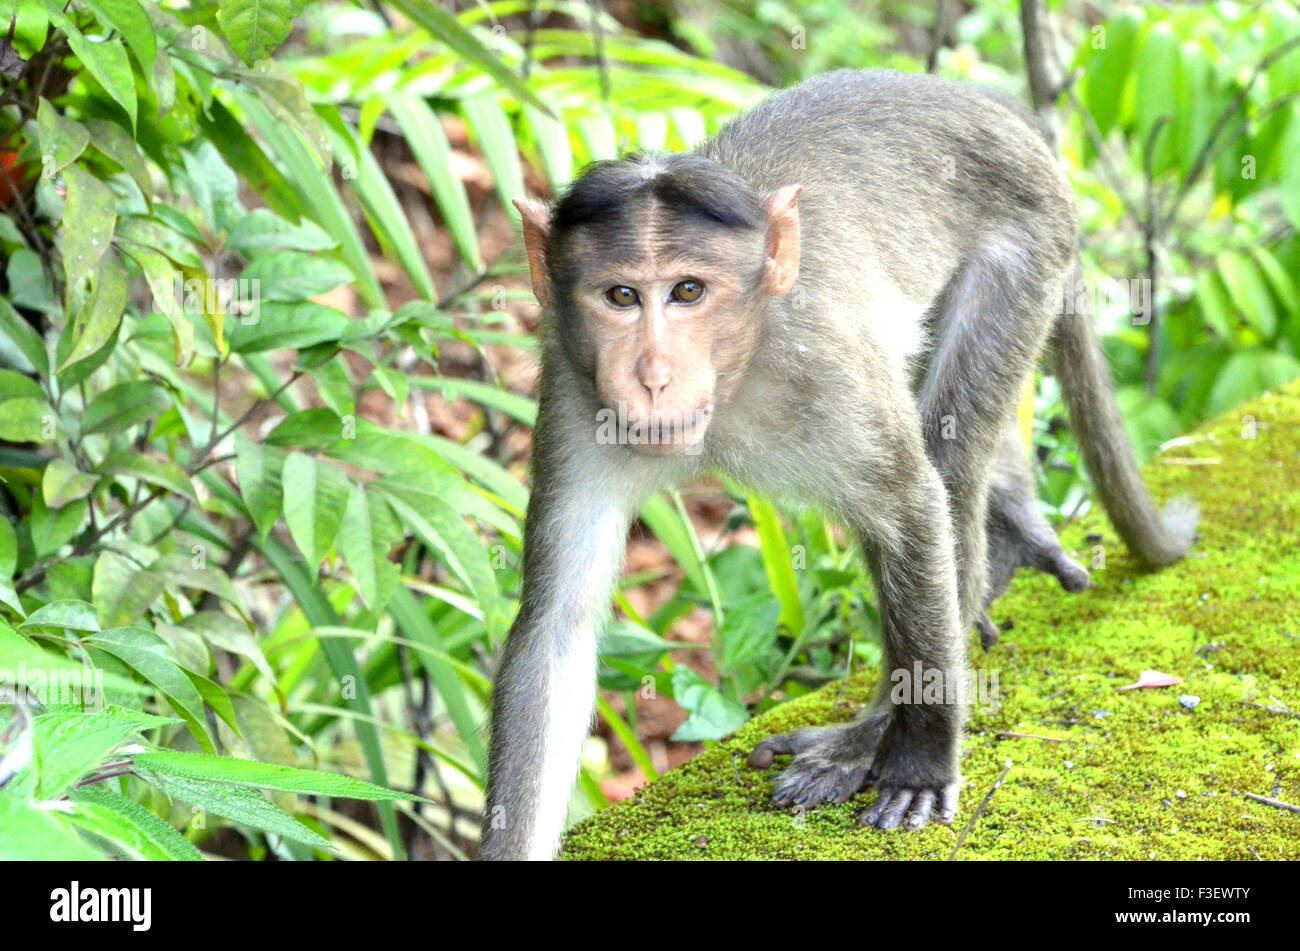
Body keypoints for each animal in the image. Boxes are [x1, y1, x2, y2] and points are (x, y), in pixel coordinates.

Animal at [479, 69, 1197, 860]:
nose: (654, 376)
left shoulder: (825, 365)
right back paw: (1013, 518)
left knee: (949, 459)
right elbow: (556, 630)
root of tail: (991, 105)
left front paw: (917, 762)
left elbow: (915, 503)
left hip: (1027, 246)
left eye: (688, 291)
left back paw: (874, 733)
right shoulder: (574, 391)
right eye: (621, 296)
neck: (737, 369)